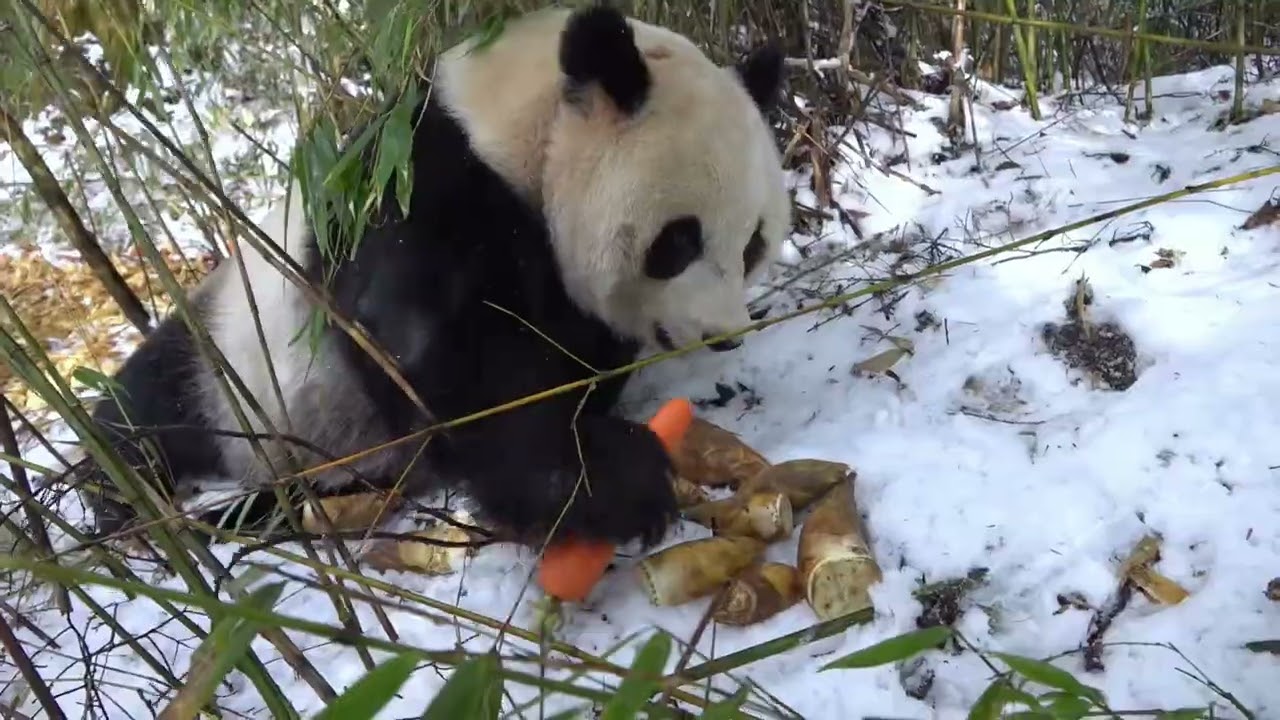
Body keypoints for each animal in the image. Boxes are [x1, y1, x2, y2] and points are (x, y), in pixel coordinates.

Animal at [78, 4, 791, 549]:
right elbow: (438, 364)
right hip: (226, 358)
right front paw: (612, 483)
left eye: (753, 243)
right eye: (678, 240)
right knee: (147, 410)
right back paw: (120, 490)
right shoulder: (417, 195)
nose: (724, 333)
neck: (517, 136)